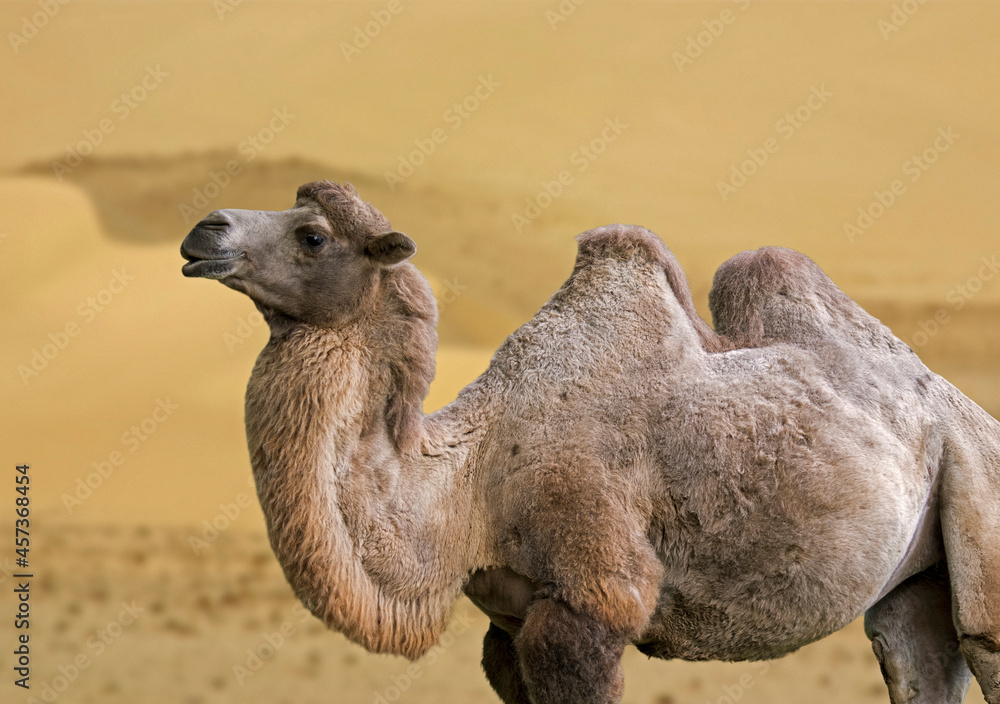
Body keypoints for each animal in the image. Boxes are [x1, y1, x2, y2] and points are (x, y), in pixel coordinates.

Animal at [180, 180, 1000, 704]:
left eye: (313, 235)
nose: (203, 231)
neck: (468, 486)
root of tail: (974, 414)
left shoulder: (592, 600)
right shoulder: (507, 629)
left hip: (979, 497)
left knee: (984, 638)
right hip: (917, 575)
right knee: (916, 656)